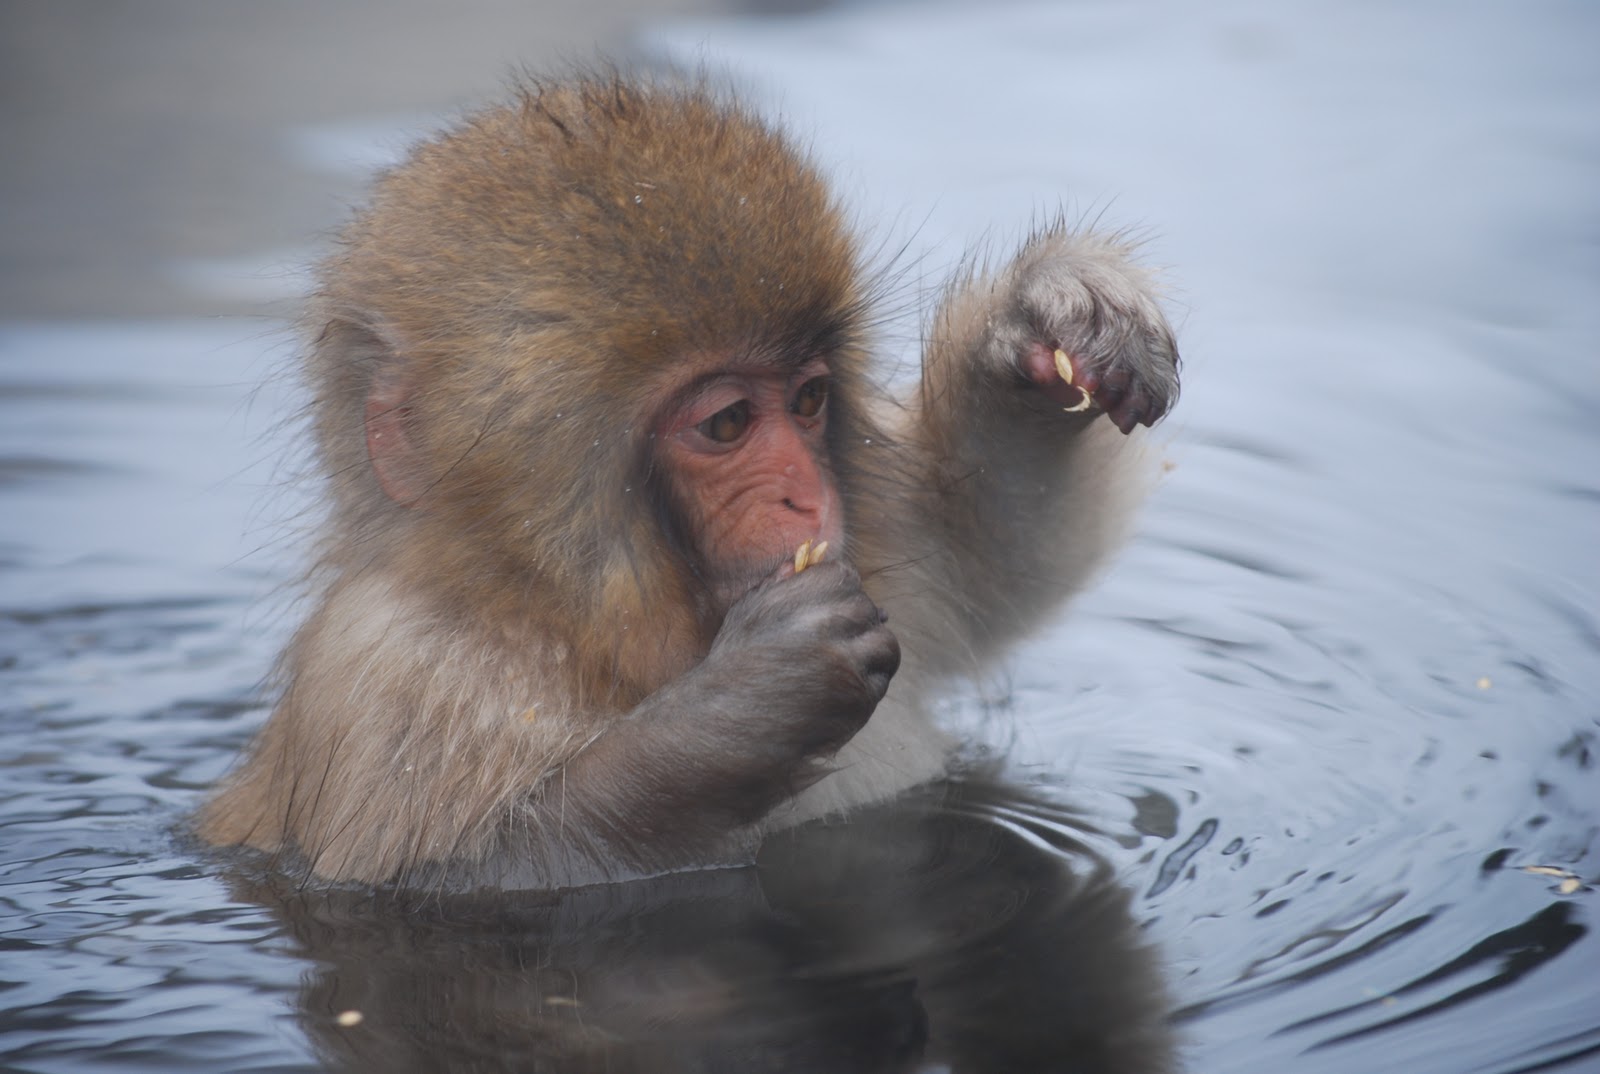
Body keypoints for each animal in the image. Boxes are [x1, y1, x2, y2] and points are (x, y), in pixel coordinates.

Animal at [197, 72, 1180, 890]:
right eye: (729, 424)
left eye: (810, 400)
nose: (806, 496)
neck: (572, 623)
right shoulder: (387, 676)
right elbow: (469, 877)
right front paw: (745, 710)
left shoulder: (883, 547)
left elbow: (1001, 560)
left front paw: (1054, 314)